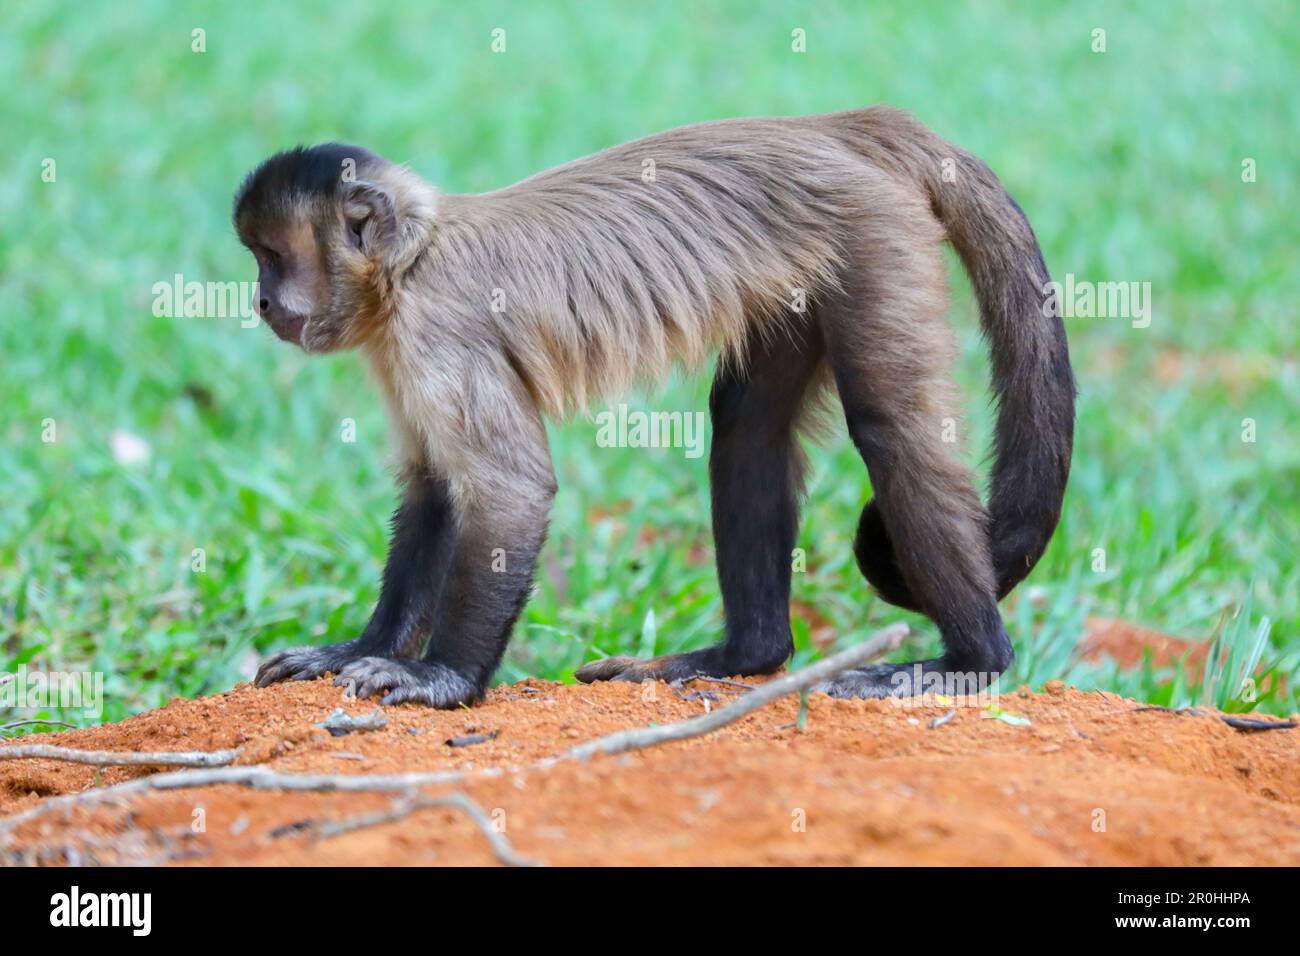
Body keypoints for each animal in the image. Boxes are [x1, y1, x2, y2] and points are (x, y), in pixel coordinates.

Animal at [235, 107, 1075, 708]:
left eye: (273, 258)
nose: (261, 300)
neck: (411, 258)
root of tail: (838, 125)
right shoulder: (397, 346)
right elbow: (436, 492)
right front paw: (356, 650)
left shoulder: (436, 327)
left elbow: (510, 489)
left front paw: (444, 679)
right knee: (747, 426)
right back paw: (743, 656)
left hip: (872, 231)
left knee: (890, 431)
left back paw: (970, 662)